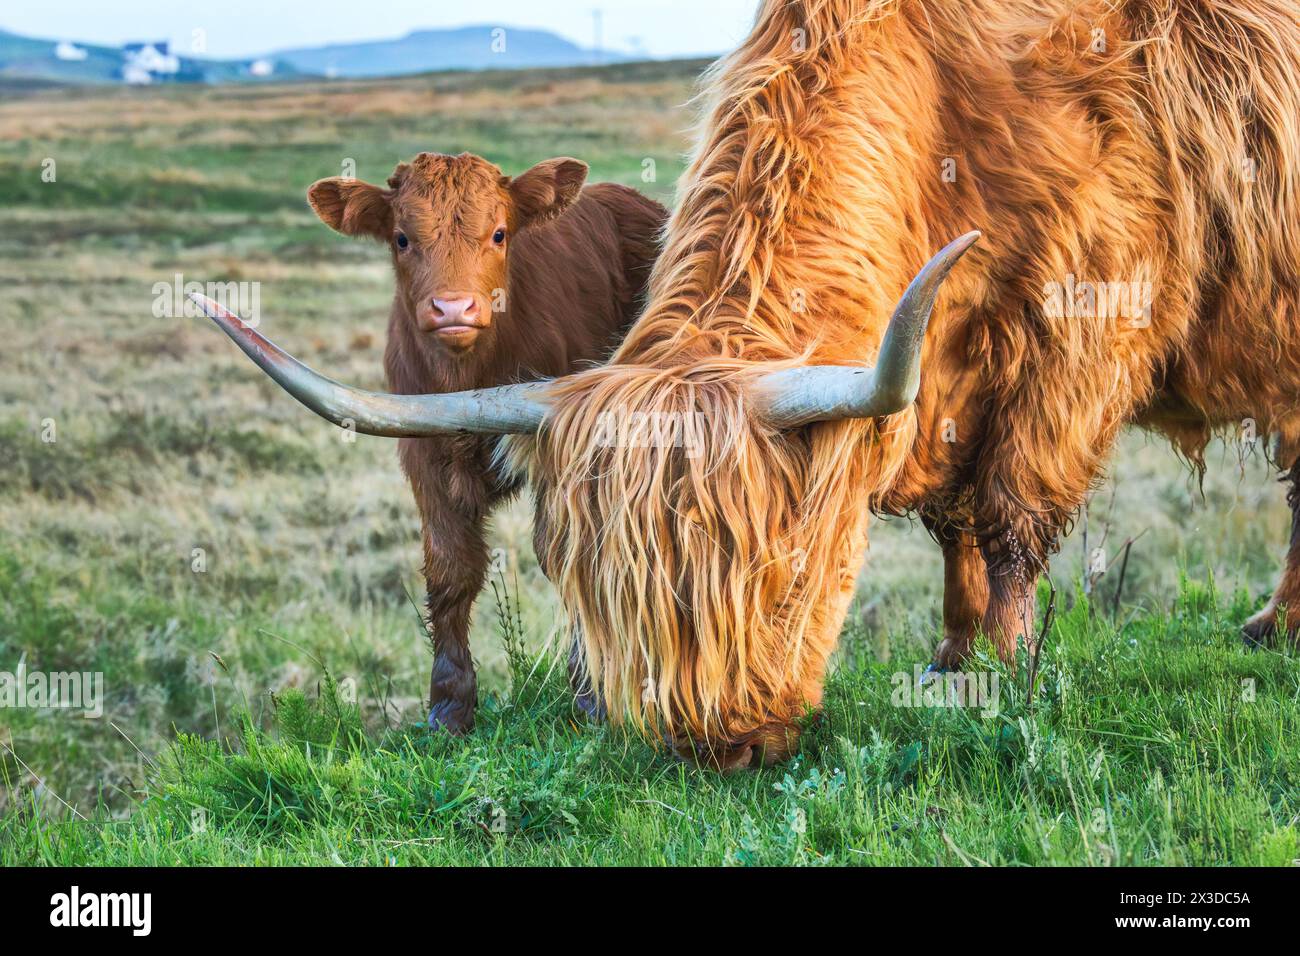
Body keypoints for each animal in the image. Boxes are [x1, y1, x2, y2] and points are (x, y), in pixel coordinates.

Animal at [299, 152, 665, 733]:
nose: (453, 309)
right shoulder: (422, 454)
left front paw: (590, 695)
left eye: (498, 233)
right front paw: (449, 705)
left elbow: (567, 553)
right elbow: (450, 569)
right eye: (402, 237)